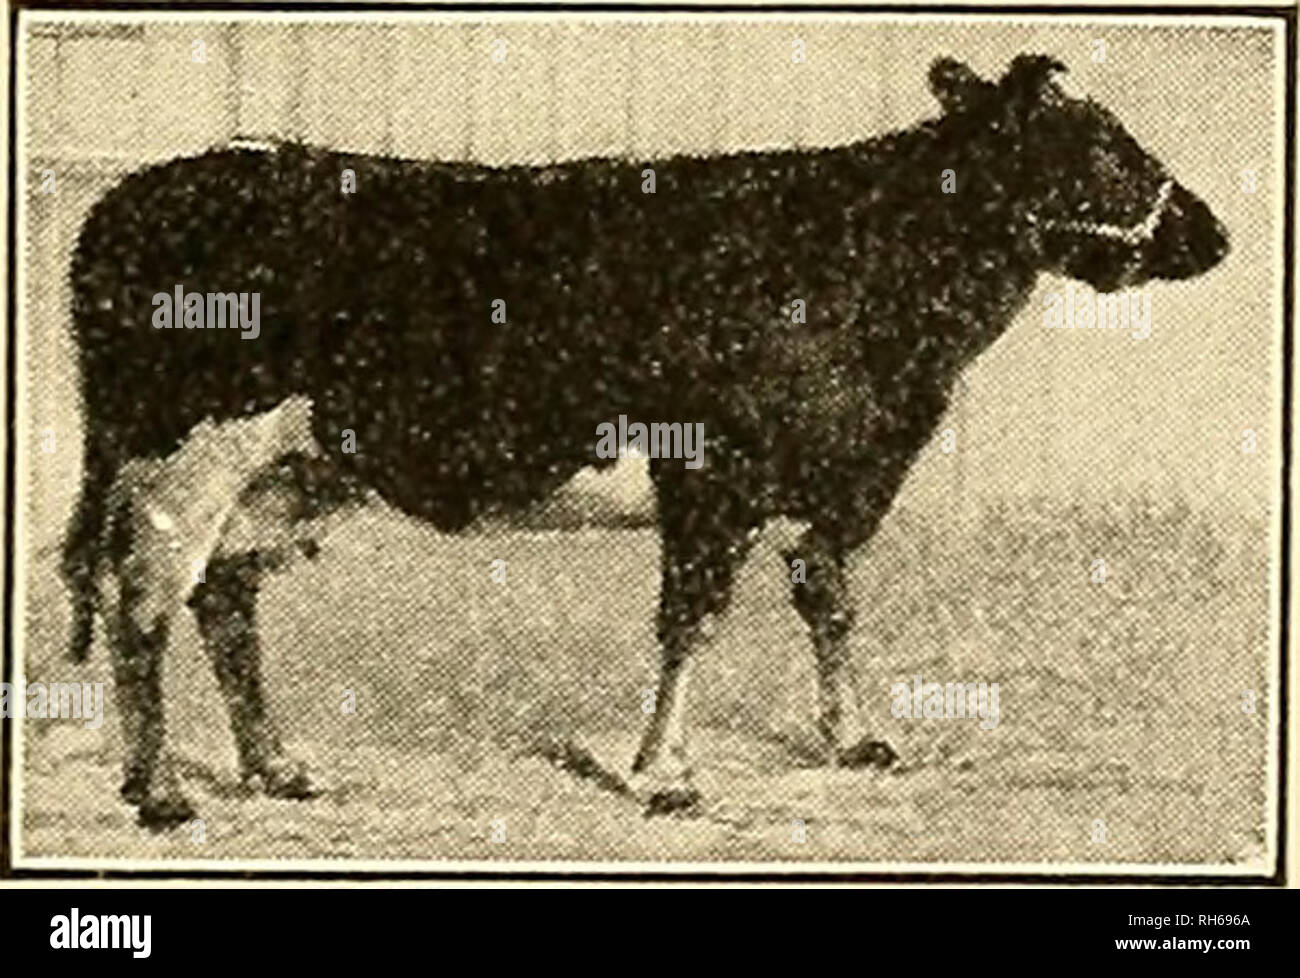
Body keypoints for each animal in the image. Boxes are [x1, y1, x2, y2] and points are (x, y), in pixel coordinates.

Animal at [59, 54, 1228, 828]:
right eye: (1105, 150)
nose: (1212, 233)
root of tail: (137, 194)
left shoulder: (827, 480)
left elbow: (829, 607)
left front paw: (854, 740)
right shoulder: (709, 474)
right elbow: (690, 622)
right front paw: (665, 774)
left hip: (279, 471)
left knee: (224, 604)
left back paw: (275, 768)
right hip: (180, 459)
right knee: (143, 602)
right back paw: (161, 793)